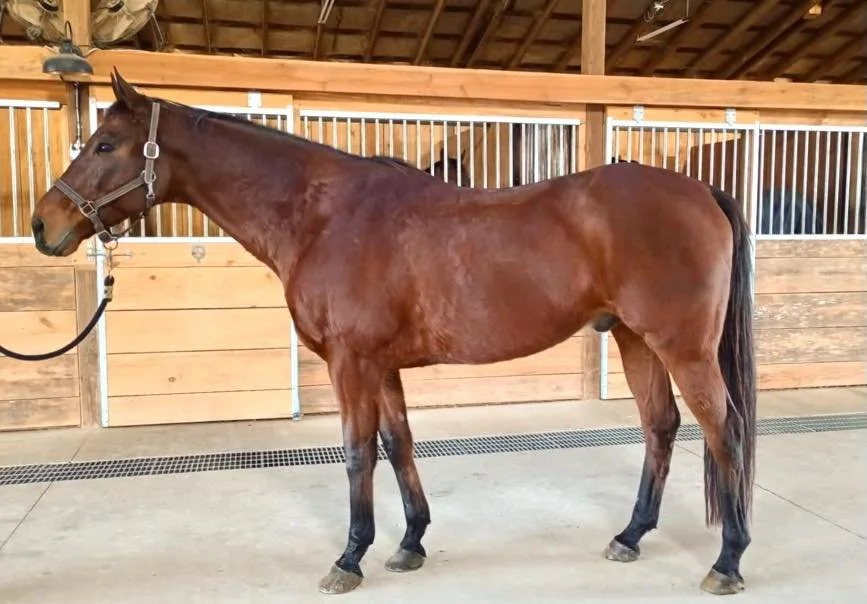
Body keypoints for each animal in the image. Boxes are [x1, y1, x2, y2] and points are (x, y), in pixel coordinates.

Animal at [31, 70, 757, 597]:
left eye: (104, 145)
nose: (43, 225)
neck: (324, 216)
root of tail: (700, 190)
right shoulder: (380, 366)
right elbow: (398, 443)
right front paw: (410, 544)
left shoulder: (350, 363)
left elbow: (358, 453)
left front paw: (350, 556)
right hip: (634, 339)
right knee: (661, 425)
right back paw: (630, 536)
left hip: (682, 347)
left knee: (723, 430)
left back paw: (728, 559)